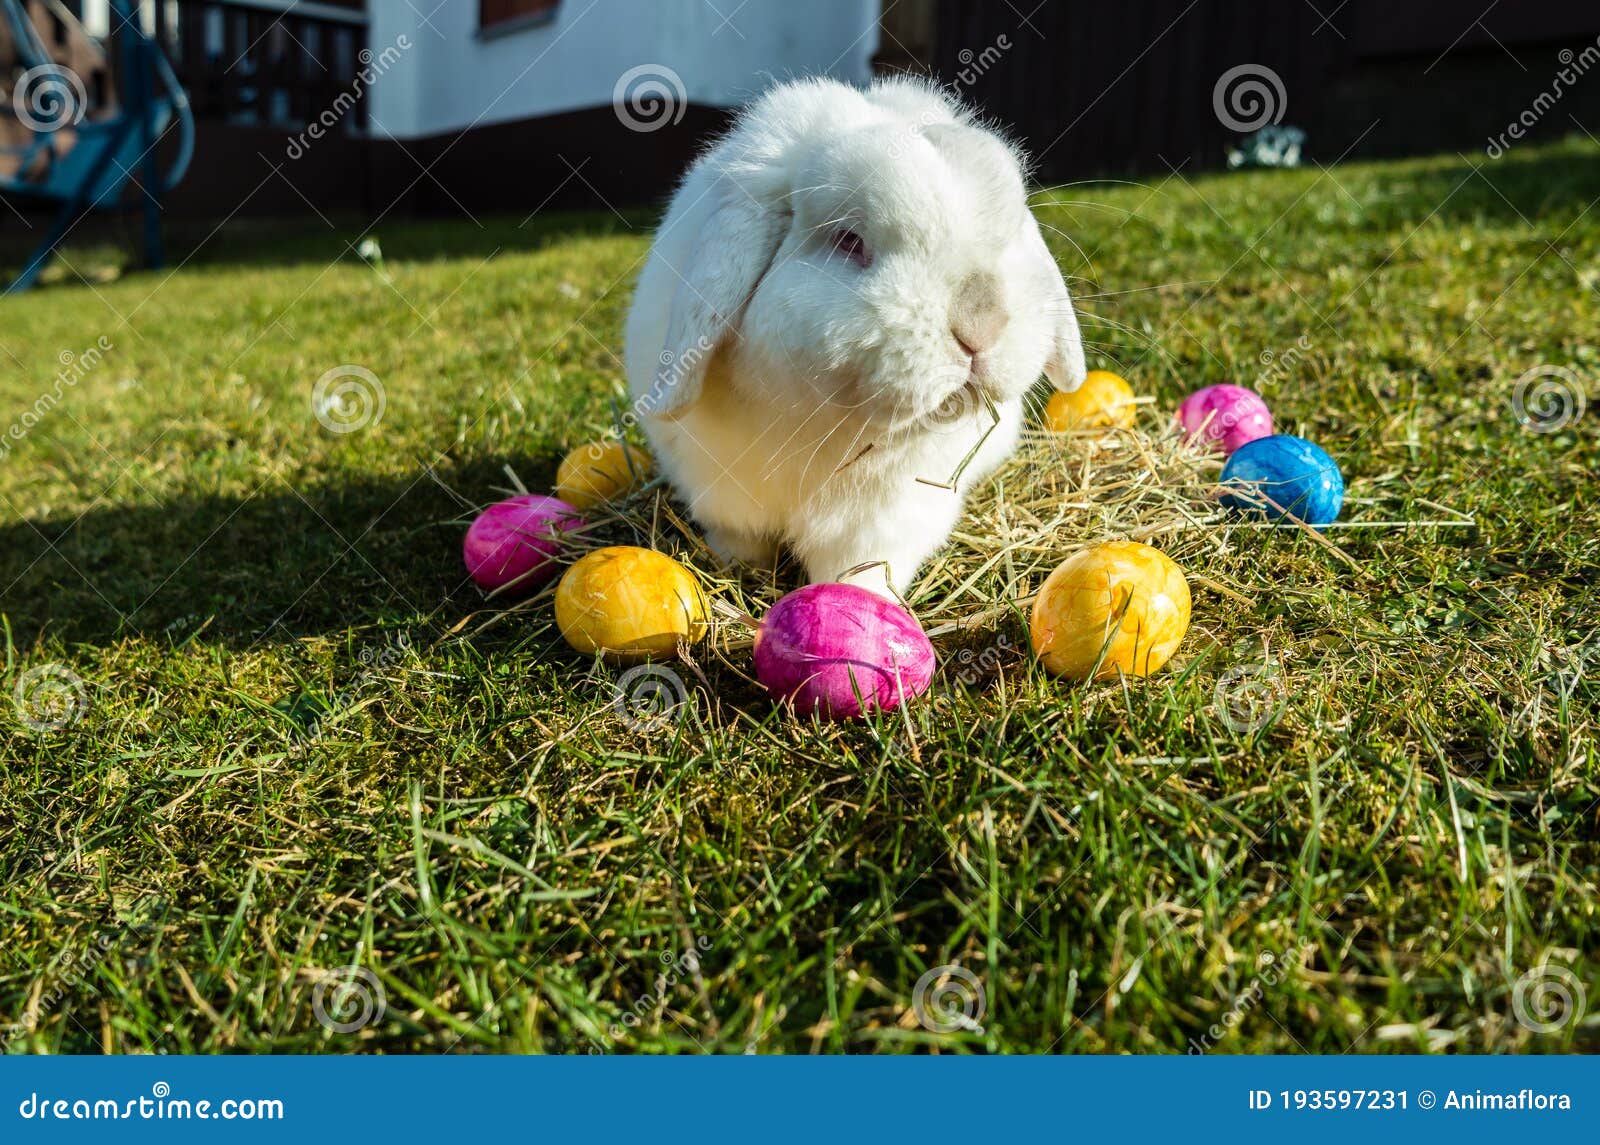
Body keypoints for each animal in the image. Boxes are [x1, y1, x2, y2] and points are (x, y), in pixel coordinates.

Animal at [624, 76, 1086, 597]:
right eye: (848, 240)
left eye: (1006, 238)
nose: (981, 322)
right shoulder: (721, 495)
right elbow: (739, 540)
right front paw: (735, 569)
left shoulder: (882, 525)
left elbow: (862, 570)